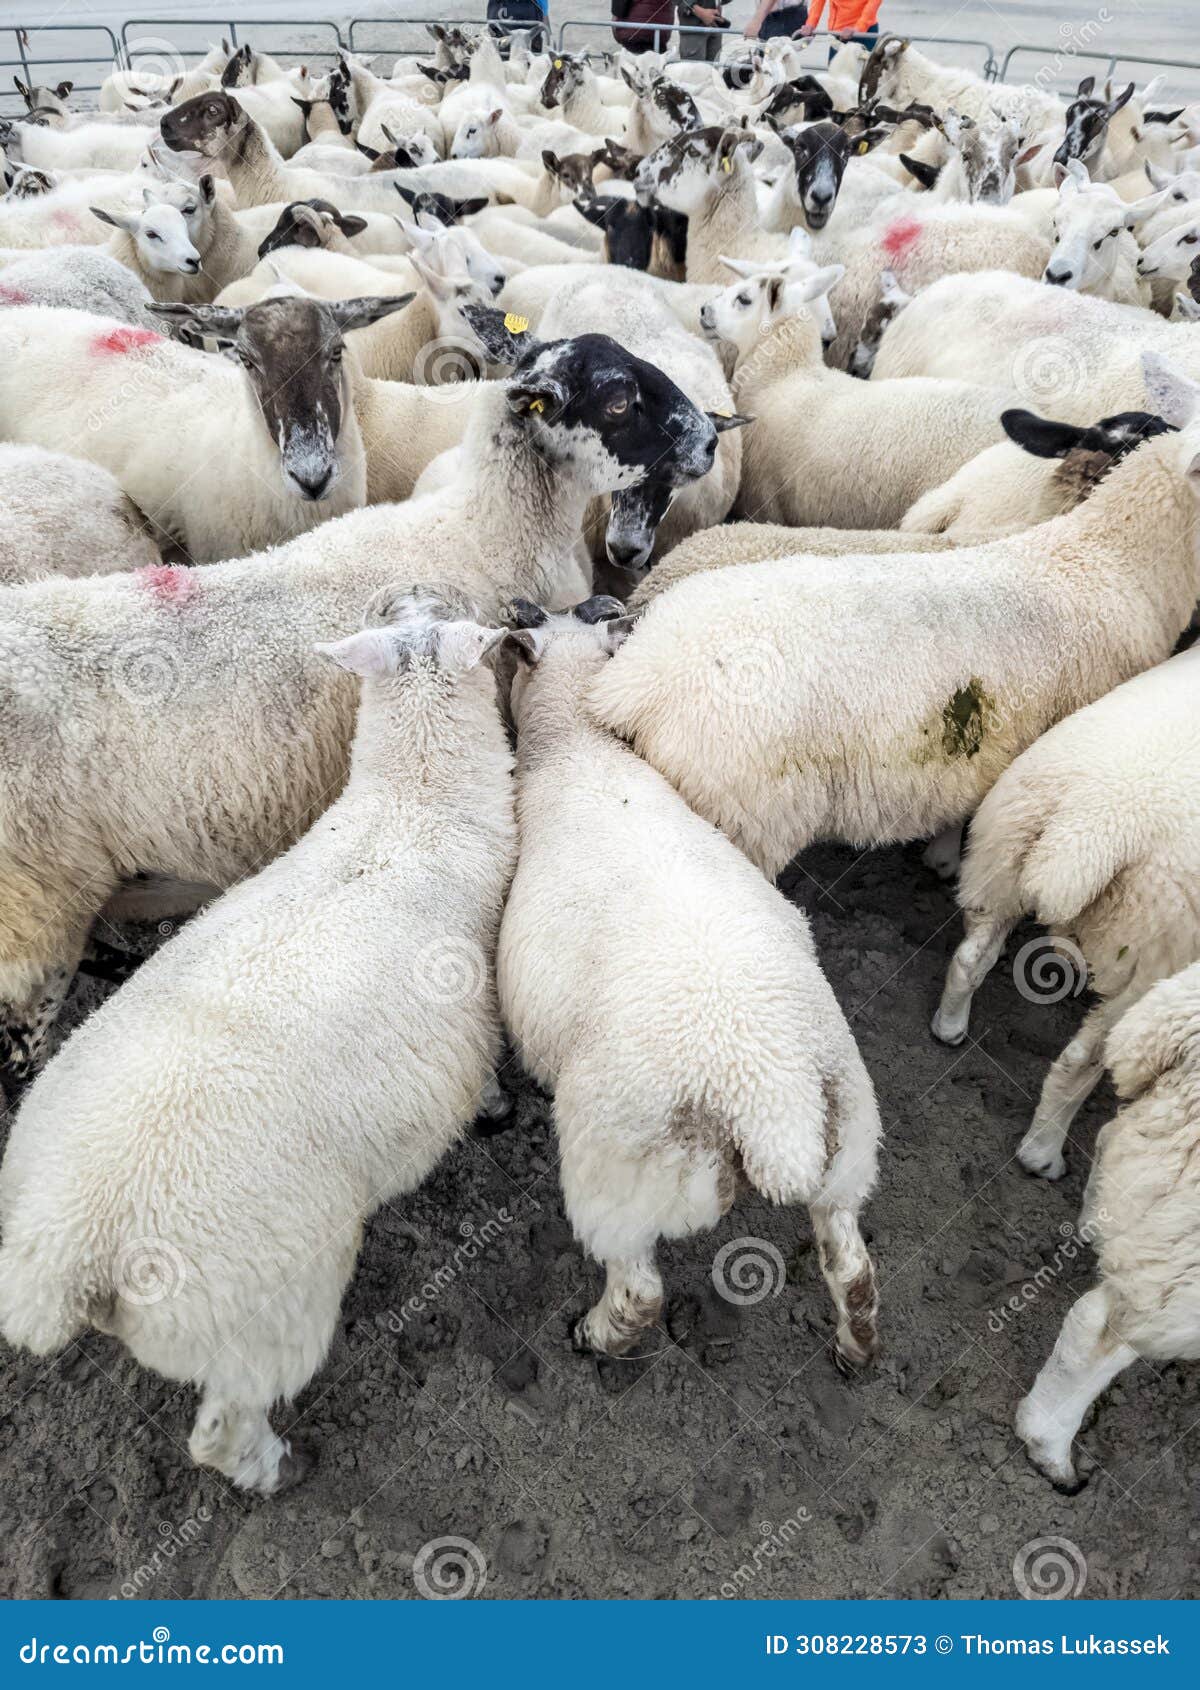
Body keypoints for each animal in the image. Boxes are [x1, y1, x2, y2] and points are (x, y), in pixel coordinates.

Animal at [0, 591, 516, 1494]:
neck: (414, 802)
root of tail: (67, 1253)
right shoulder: (474, 1010)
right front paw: (496, 1111)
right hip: (260, 1309)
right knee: (222, 1424)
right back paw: (274, 1468)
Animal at [498, 600, 880, 1367]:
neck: (577, 745)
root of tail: (770, 1099)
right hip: (850, 1138)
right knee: (852, 1264)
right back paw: (855, 1349)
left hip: (616, 1166)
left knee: (640, 1290)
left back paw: (595, 1336)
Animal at [932, 641, 1200, 1184]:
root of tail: (1086, 833)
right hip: (1146, 965)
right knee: (1081, 1060)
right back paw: (1043, 1152)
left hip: (999, 862)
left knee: (971, 957)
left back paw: (950, 1027)